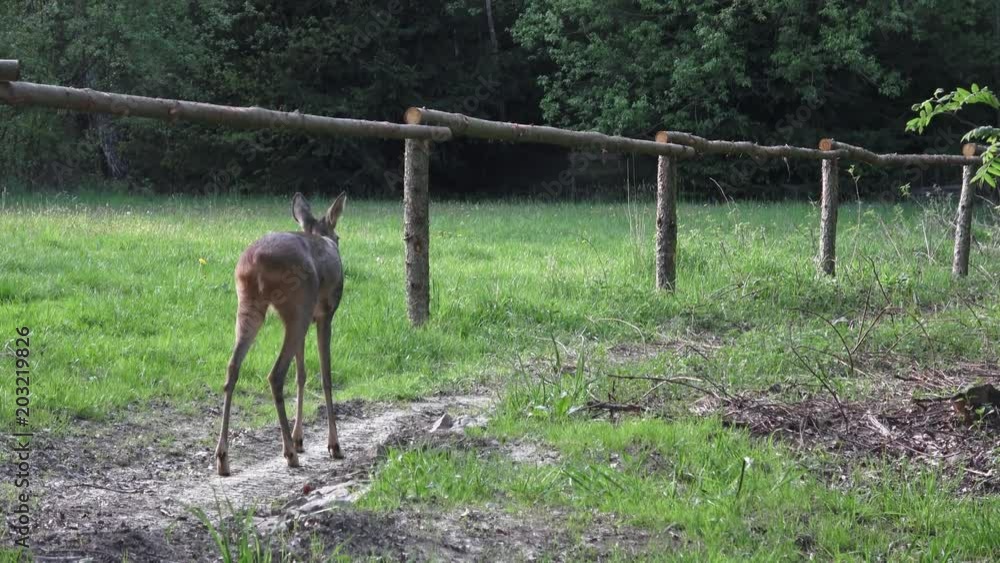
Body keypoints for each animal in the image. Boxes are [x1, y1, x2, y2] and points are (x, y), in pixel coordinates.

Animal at [214, 192, 347, 476]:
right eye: (339, 237)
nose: (338, 241)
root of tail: (254, 262)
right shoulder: (325, 314)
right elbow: (325, 375)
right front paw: (333, 445)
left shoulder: (307, 322)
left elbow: (302, 374)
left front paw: (300, 439)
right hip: (298, 305)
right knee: (276, 374)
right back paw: (288, 453)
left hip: (250, 305)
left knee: (232, 367)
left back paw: (222, 457)